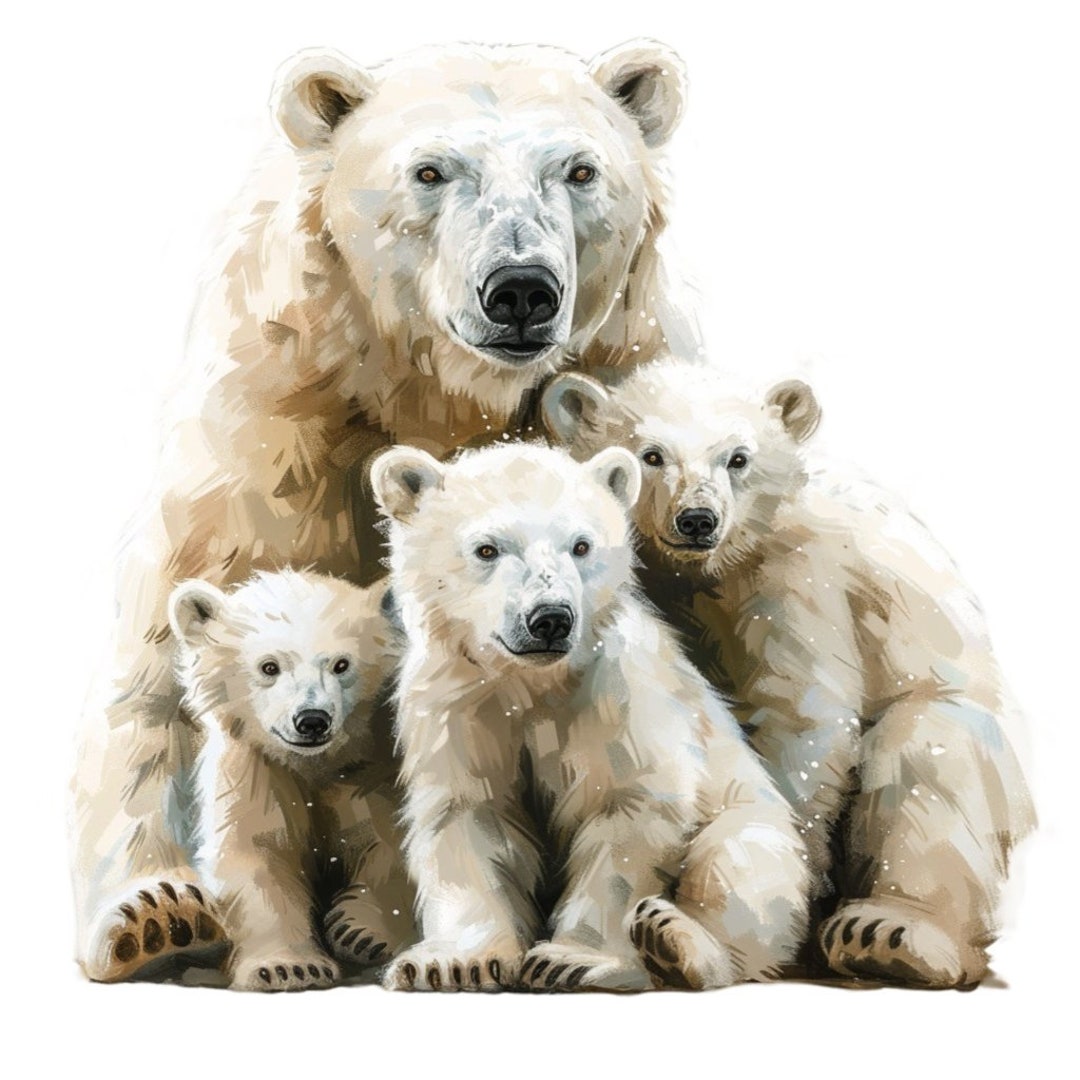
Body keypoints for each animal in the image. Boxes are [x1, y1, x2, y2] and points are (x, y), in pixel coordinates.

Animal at [165, 569, 413, 990]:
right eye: (269, 667)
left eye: (341, 664)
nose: (312, 720)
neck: (315, 764)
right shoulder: (256, 775)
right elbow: (259, 855)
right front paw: (289, 967)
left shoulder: (371, 771)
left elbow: (389, 843)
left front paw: (361, 932)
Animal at [370, 442, 810, 992]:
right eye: (487, 549)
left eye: (580, 546)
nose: (551, 618)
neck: (533, 684)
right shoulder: (460, 707)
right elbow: (469, 815)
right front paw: (453, 962)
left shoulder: (616, 698)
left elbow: (629, 810)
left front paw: (574, 959)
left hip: (753, 819)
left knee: (739, 869)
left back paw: (675, 943)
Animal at [542, 357, 1036, 988]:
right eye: (651, 454)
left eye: (738, 458)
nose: (697, 520)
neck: (714, 569)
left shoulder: (800, 578)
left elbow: (800, 715)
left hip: (976, 746)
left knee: (925, 764)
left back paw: (890, 934)